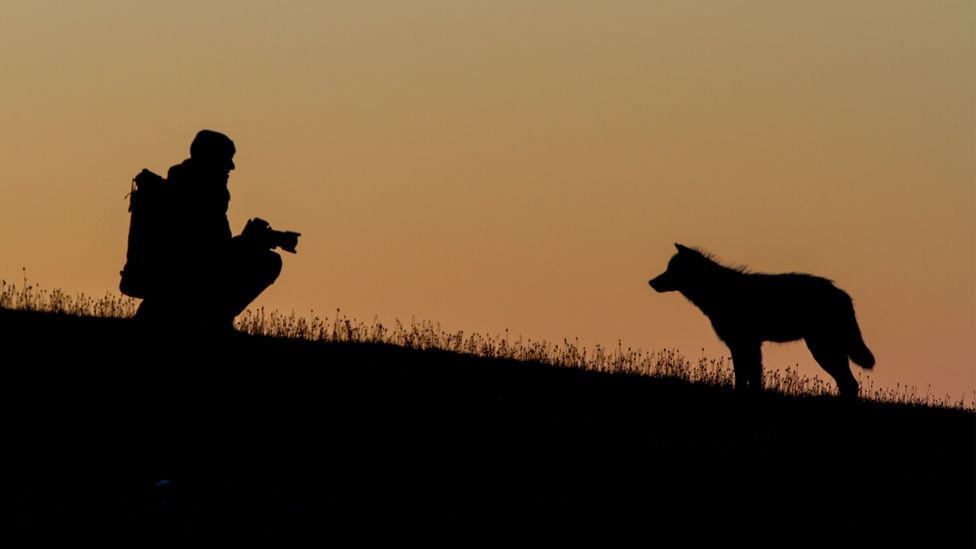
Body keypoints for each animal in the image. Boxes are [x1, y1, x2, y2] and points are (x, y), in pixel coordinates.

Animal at [648, 244, 874, 397]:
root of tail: (843, 295)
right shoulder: (748, 345)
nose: (651, 282)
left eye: (672, 269)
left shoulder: (743, 343)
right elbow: (751, 379)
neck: (718, 291)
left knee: (850, 384)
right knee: (849, 384)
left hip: (823, 351)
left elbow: (745, 378)